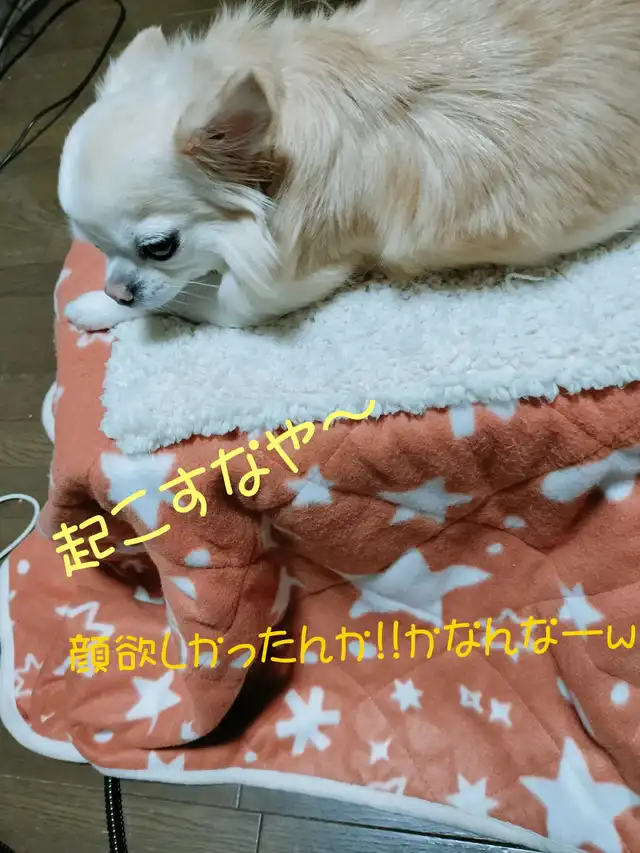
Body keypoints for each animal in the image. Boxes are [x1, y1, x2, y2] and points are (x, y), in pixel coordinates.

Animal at [58, 0, 640, 331]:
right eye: (94, 248)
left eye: (160, 247)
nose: (115, 288)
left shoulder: (282, 288)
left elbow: (190, 297)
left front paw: (94, 309)